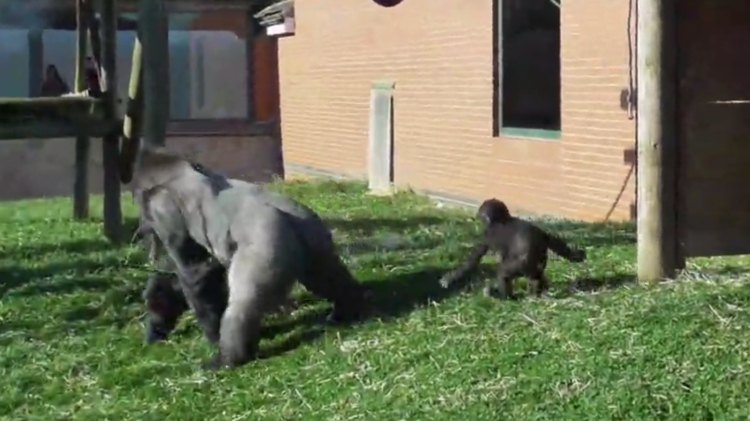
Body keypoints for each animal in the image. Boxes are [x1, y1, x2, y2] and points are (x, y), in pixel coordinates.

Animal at [126, 145, 370, 370]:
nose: (142, 225)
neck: (177, 171)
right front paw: (158, 319)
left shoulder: (163, 208)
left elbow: (195, 270)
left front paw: (212, 335)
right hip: (314, 236)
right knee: (326, 278)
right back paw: (348, 308)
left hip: (267, 243)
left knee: (243, 303)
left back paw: (230, 358)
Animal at [439, 198, 586, 299]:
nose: (480, 221)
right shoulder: (542, 234)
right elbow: (556, 242)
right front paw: (577, 255)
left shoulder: (488, 235)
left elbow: (473, 260)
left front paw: (449, 278)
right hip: (537, 265)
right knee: (537, 277)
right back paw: (538, 293)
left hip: (521, 265)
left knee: (503, 273)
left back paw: (506, 297)